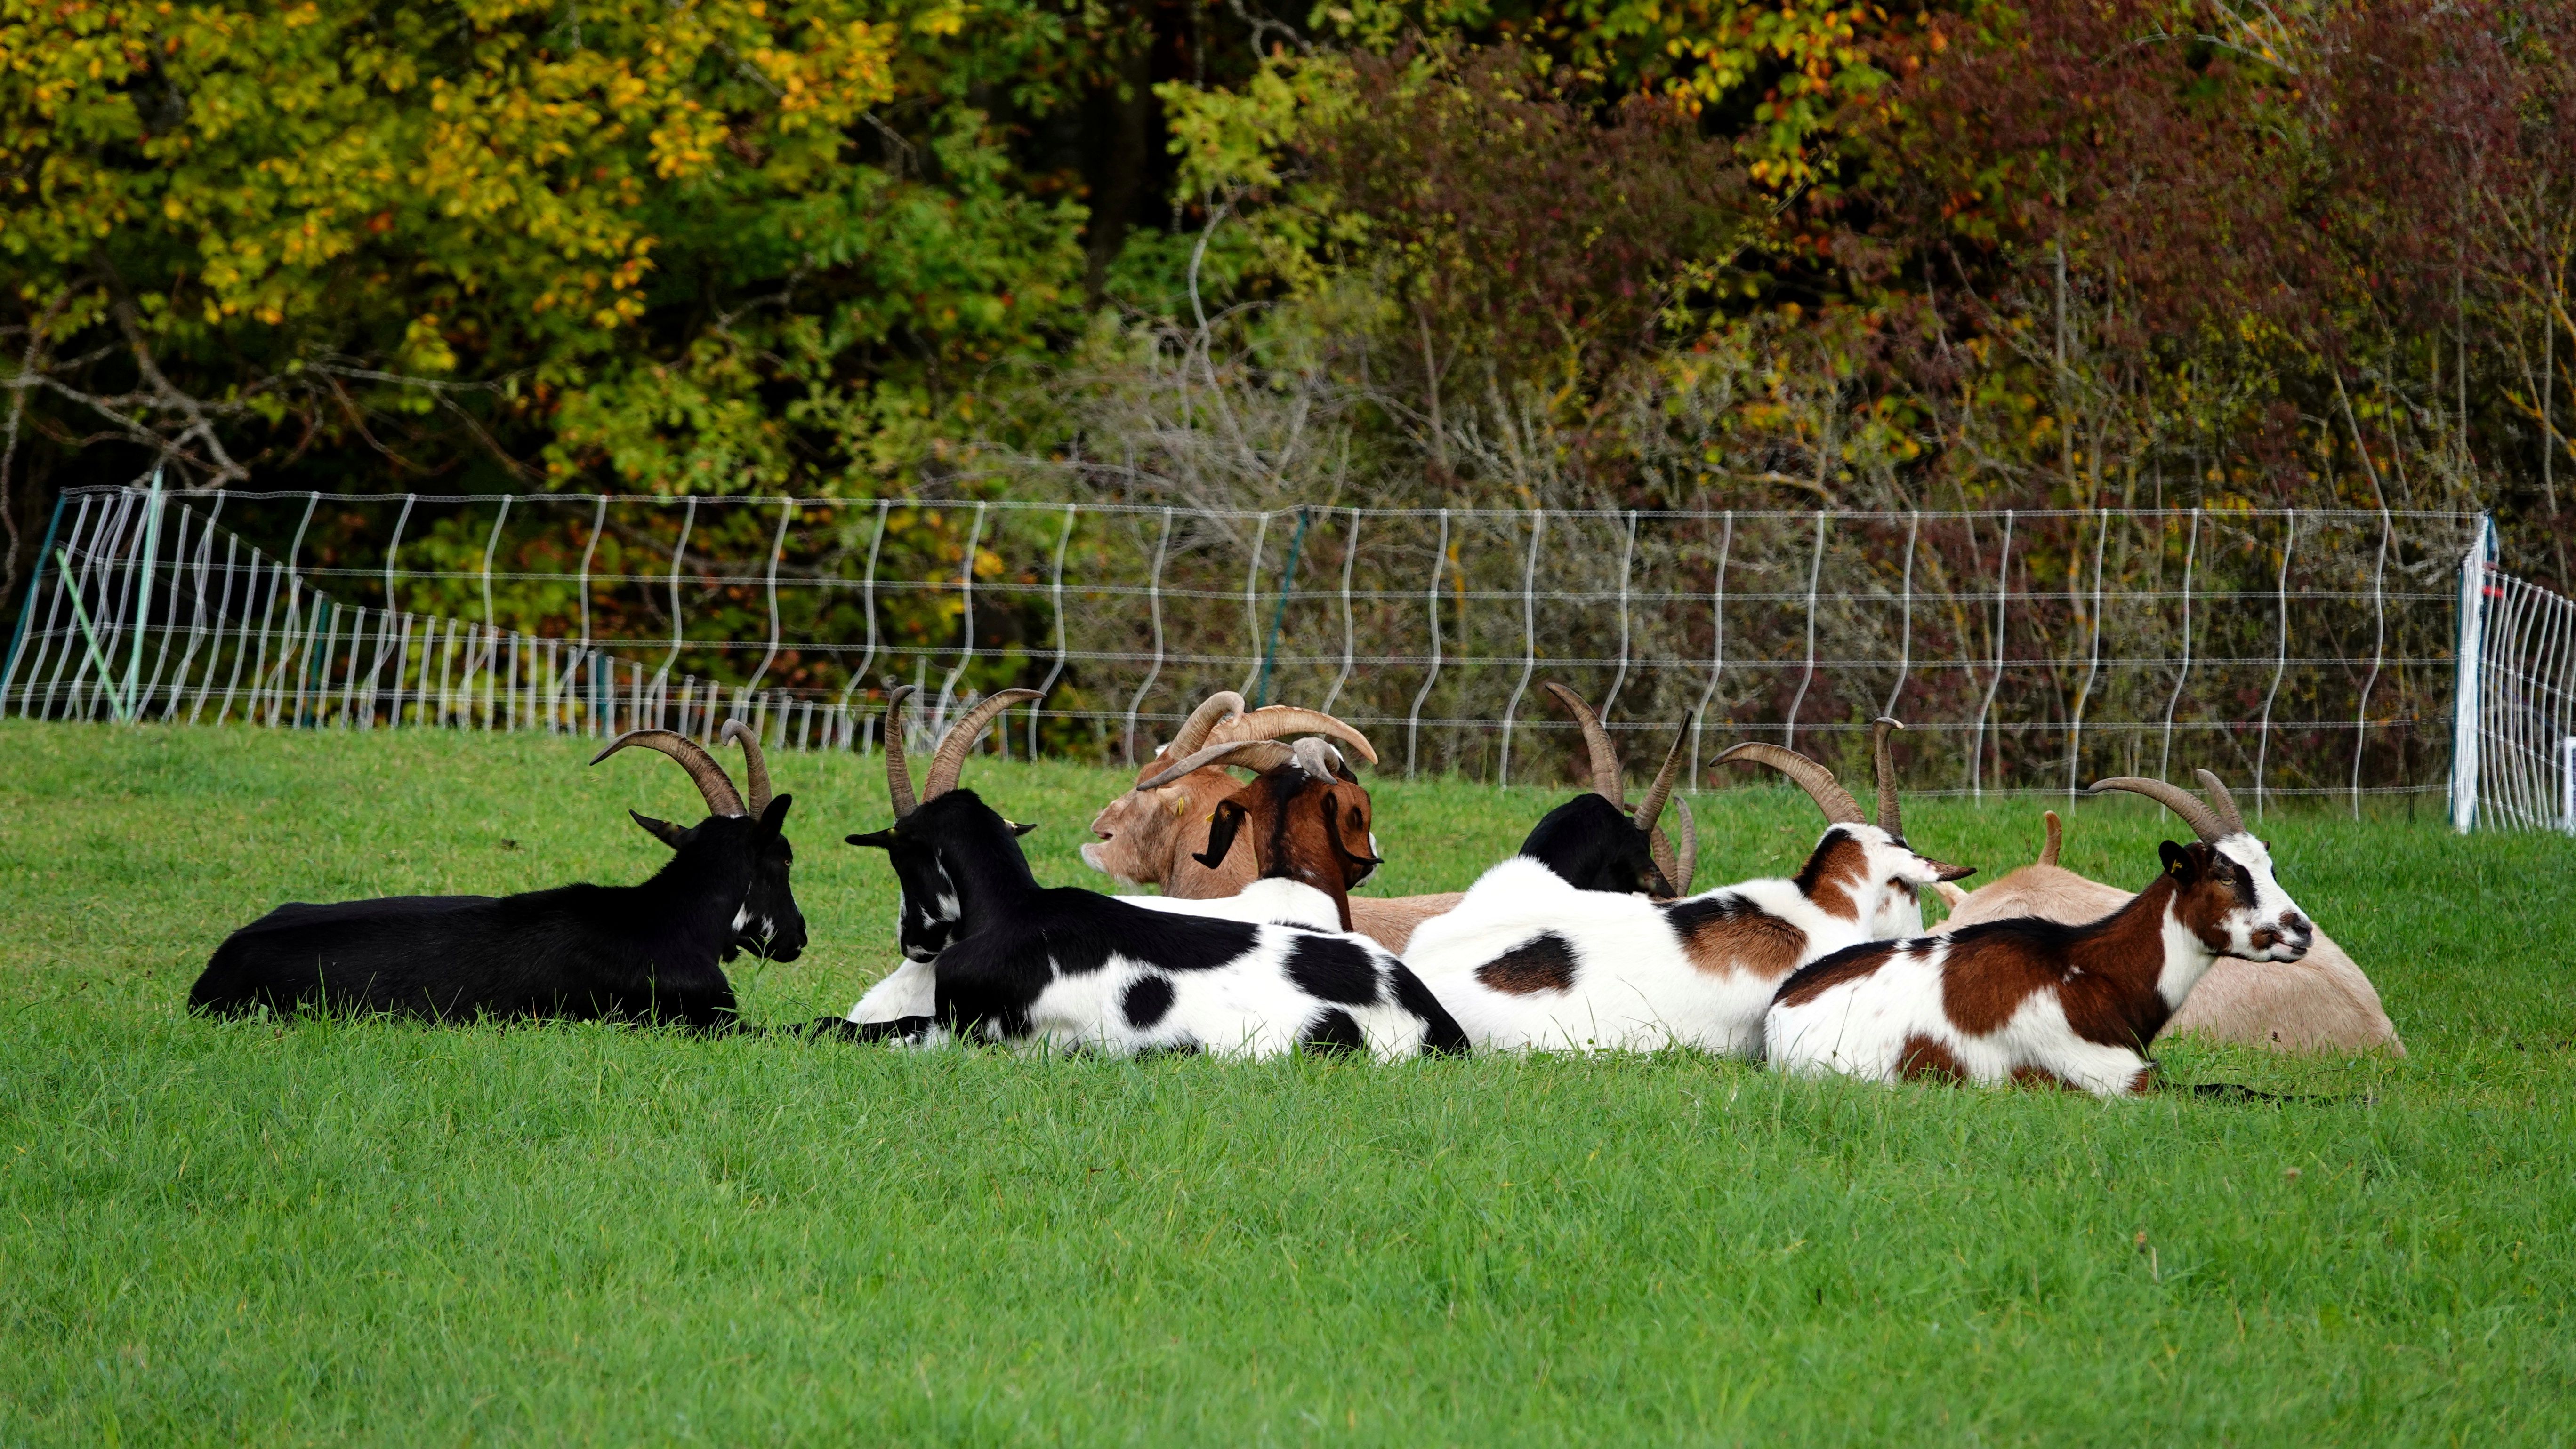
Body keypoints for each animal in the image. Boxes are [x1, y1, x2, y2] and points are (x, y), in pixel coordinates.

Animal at [1764, 772, 2316, 1096]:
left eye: (2267, 865)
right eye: (2225, 874)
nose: (2301, 931)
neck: (2090, 971)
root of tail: (1782, 1006)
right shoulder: (2116, 1078)